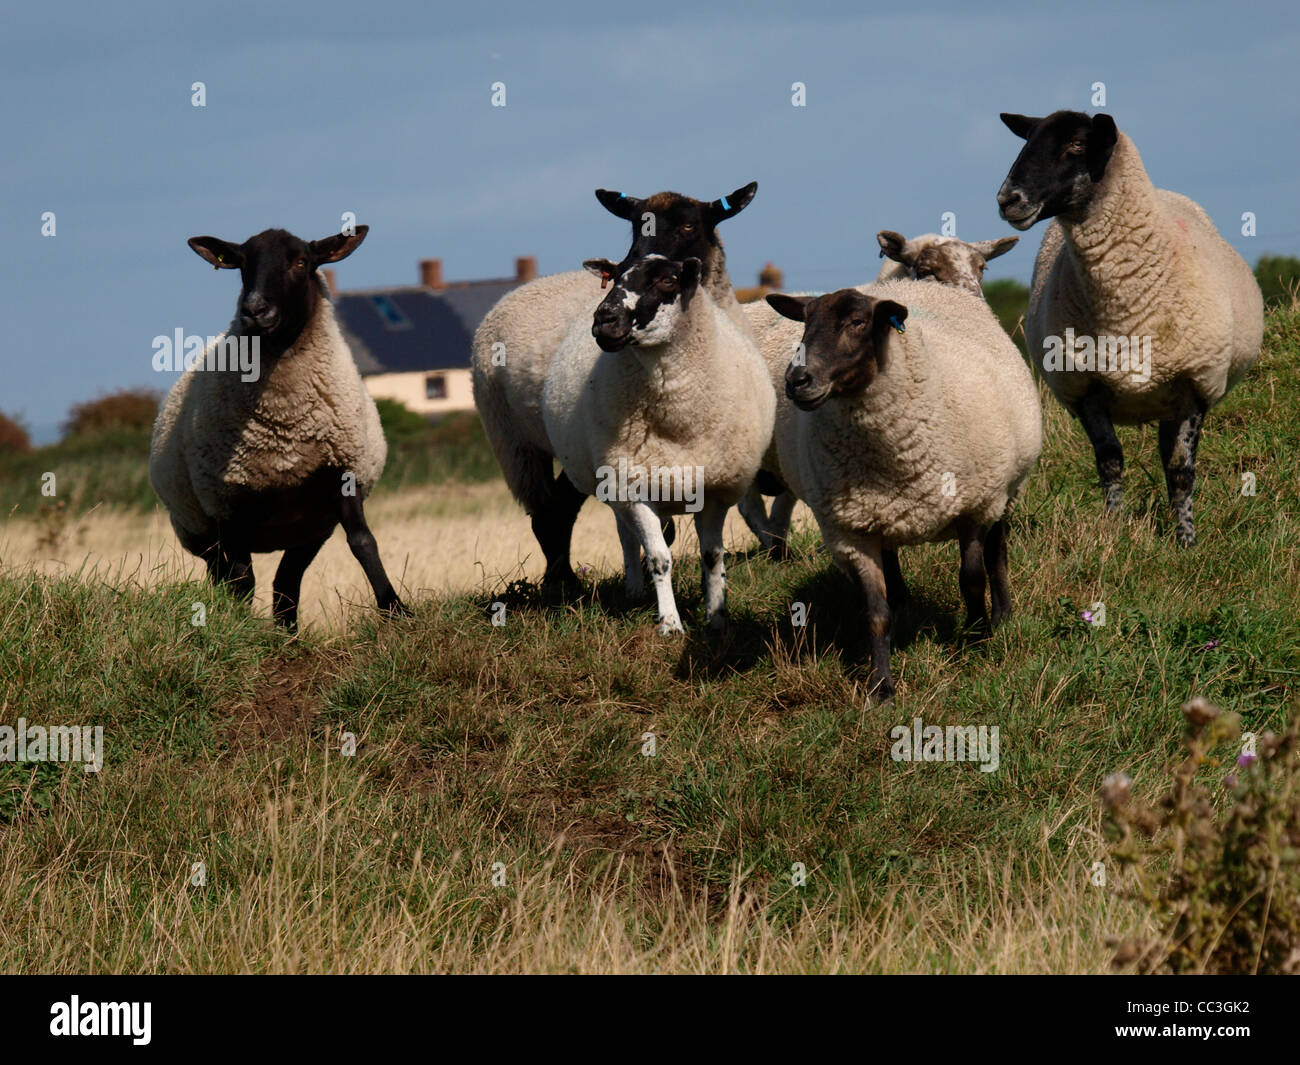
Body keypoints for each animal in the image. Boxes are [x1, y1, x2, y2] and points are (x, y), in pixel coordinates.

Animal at [149, 225, 407, 630]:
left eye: (301, 261)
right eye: (241, 264)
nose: (254, 310)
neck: (285, 426)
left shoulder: (343, 472)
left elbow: (363, 542)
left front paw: (396, 610)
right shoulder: (227, 501)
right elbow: (240, 578)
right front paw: (237, 630)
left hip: (309, 530)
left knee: (285, 585)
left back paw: (288, 635)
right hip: (202, 533)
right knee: (227, 576)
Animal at [471, 183, 759, 588]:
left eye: (688, 225)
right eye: (635, 226)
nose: (633, 261)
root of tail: (513, 293)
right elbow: (656, 528)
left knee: (561, 508)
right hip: (515, 442)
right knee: (544, 514)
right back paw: (562, 585)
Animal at [541, 254, 775, 634]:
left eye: (667, 281)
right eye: (615, 277)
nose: (603, 319)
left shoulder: (715, 491)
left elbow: (713, 555)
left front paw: (717, 618)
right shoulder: (633, 488)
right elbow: (659, 557)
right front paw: (669, 624)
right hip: (614, 483)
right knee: (626, 536)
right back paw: (635, 591)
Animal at [766, 279, 1042, 700]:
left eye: (858, 322)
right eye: (805, 323)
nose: (797, 381)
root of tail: (905, 282)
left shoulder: (973, 507)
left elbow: (972, 579)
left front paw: (978, 639)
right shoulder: (852, 532)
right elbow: (875, 613)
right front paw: (881, 686)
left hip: (1004, 490)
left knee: (997, 552)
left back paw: (1003, 616)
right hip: (882, 514)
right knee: (892, 560)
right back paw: (902, 602)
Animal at [997, 109, 1264, 546]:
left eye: (1076, 144)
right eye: (1028, 139)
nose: (1008, 199)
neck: (1122, 305)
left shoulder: (1196, 384)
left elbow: (1182, 470)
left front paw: (1186, 541)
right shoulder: (1085, 388)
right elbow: (1110, 462)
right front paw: (1114, 530)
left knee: (1170, 456)